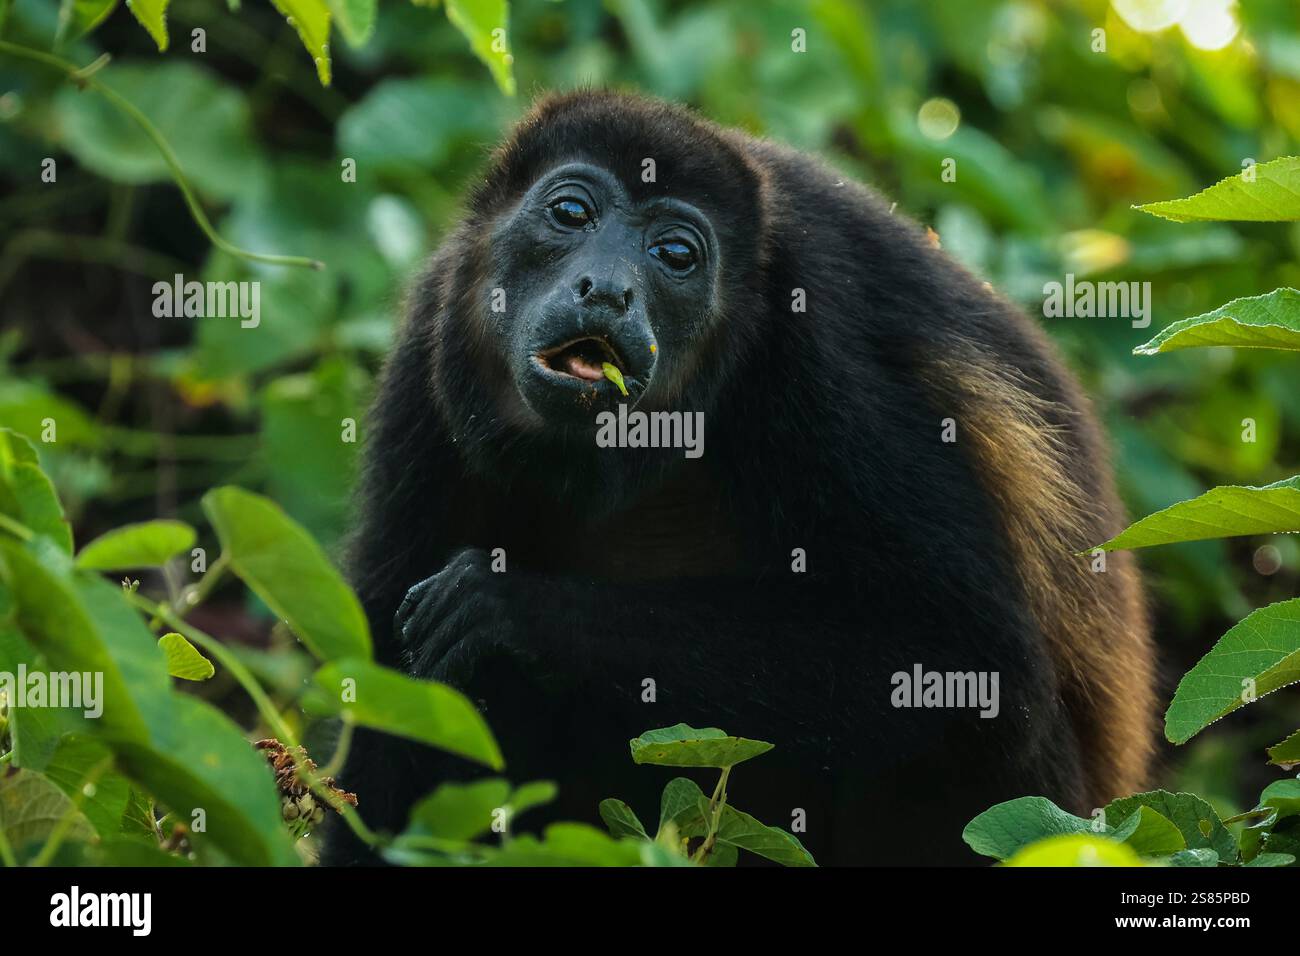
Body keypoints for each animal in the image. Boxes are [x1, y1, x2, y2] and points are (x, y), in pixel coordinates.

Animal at [324, 90, 1153, 866]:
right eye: (570, 212)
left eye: (675, 254)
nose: (609, 289)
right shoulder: (433, 338)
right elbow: (384, 664)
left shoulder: (811, 354)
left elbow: (970, 657)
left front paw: (510, 609)